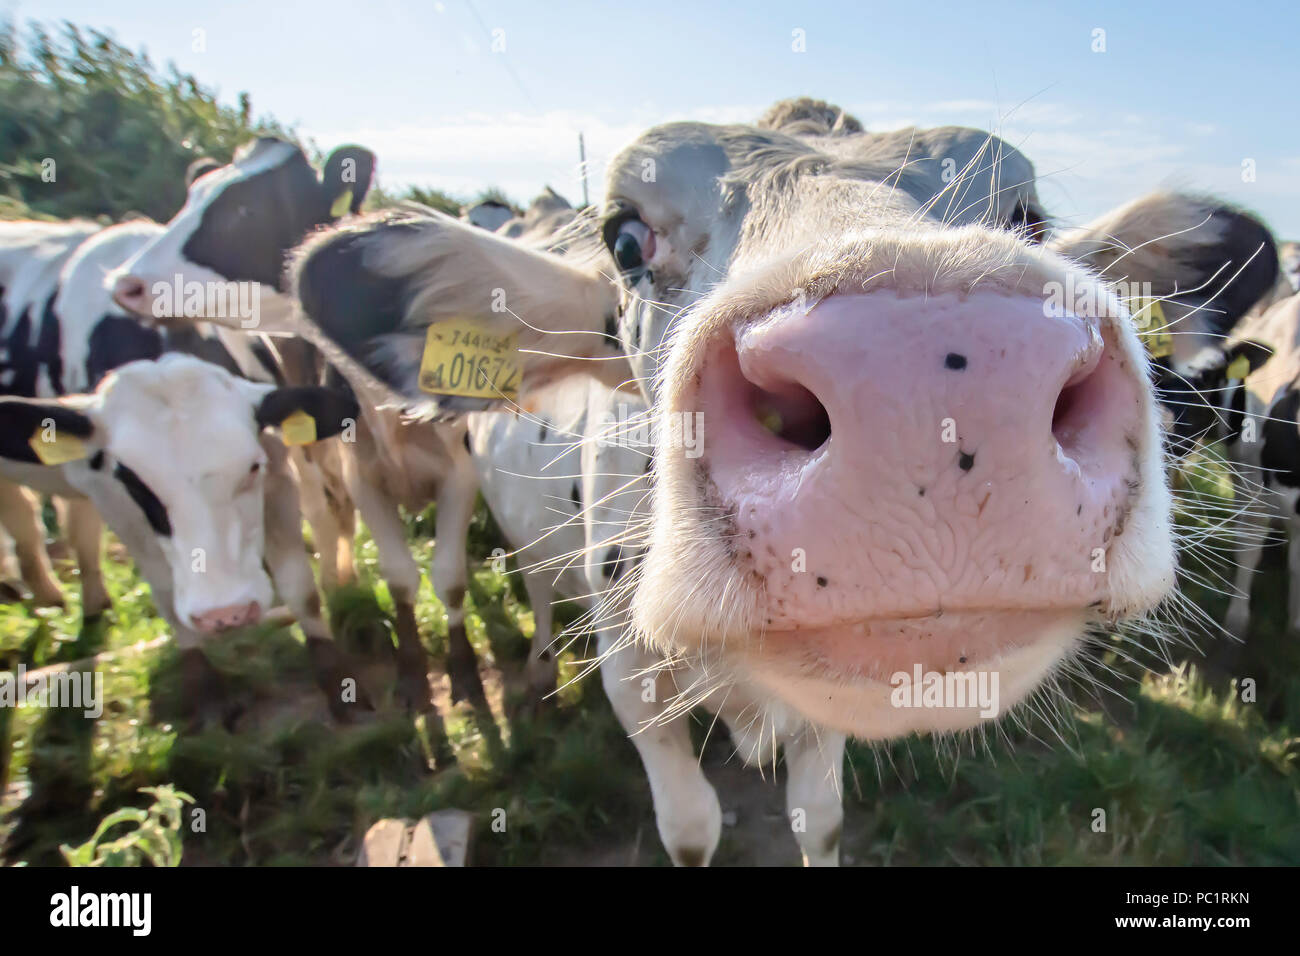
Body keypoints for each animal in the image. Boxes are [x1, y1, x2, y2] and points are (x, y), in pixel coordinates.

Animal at [0, 353, 366, 724]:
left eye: (252, 467)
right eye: (136, 485)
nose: (226, 615)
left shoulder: (279, 472)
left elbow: (300, 588)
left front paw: (339, 684)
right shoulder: (112, 499)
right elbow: (167, 599)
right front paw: (205, 692)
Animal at [287, 97, 1282, 865]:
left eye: (1027, 218)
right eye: (625, 238)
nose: (929, 379)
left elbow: (820, 819)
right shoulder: (633, 680)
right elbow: (690, 826)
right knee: (531, 578)